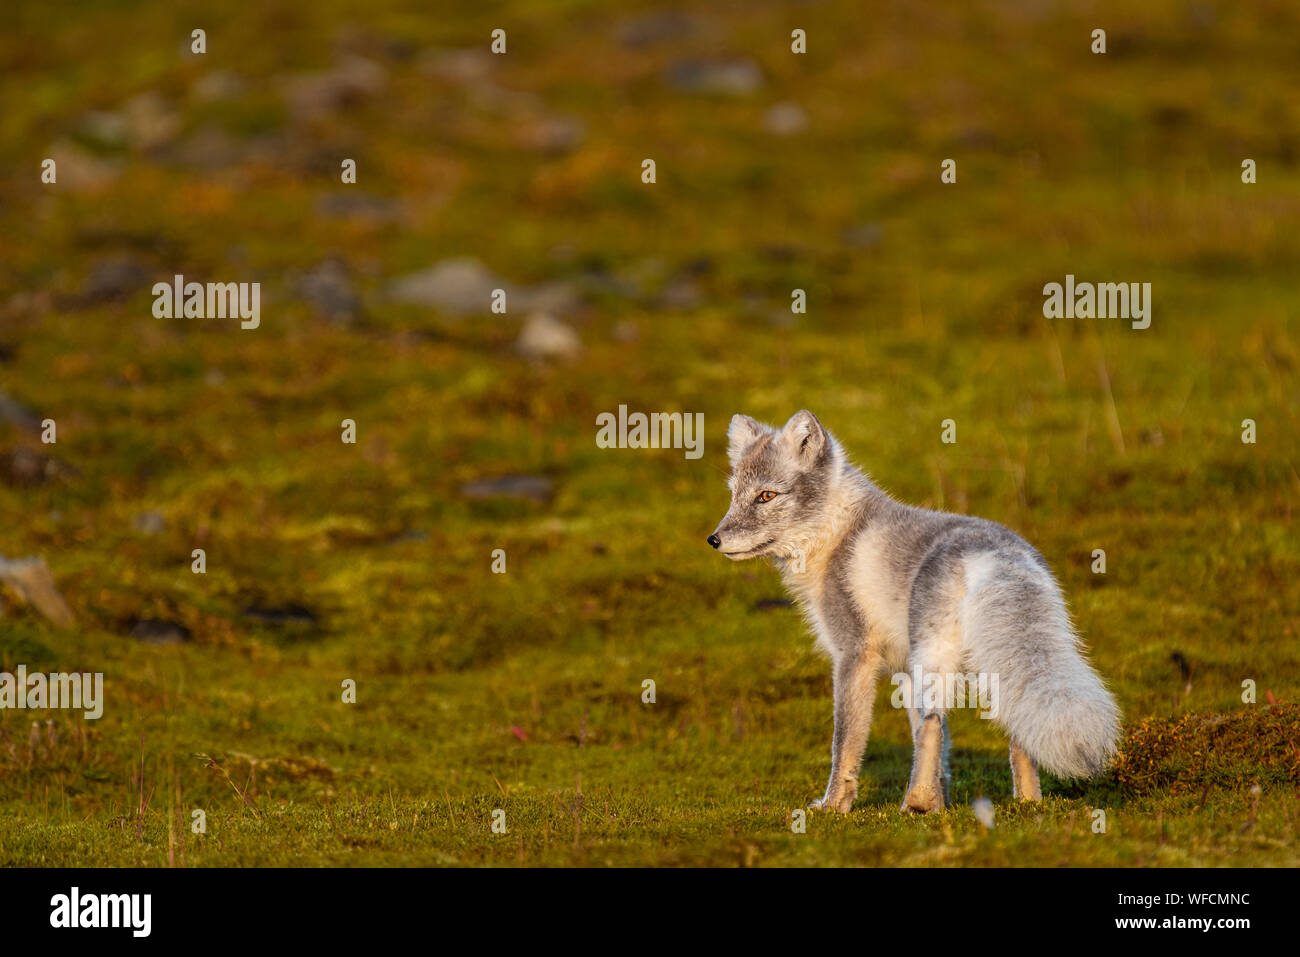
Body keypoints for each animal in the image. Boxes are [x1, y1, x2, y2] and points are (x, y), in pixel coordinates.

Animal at [707, 410, 1120, 813]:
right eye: (733, 494)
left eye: (766, 496)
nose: (714, 539)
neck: (836, 534)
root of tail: (997, 553)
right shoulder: (902, 669)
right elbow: (933, 746)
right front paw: (942, 804)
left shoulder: (853, 654)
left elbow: (846, 742)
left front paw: (834, 805)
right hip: (986, 666)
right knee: (1002, 726)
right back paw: (1025, 803)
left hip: (934, 659)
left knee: (934, 720)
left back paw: (914, 803)